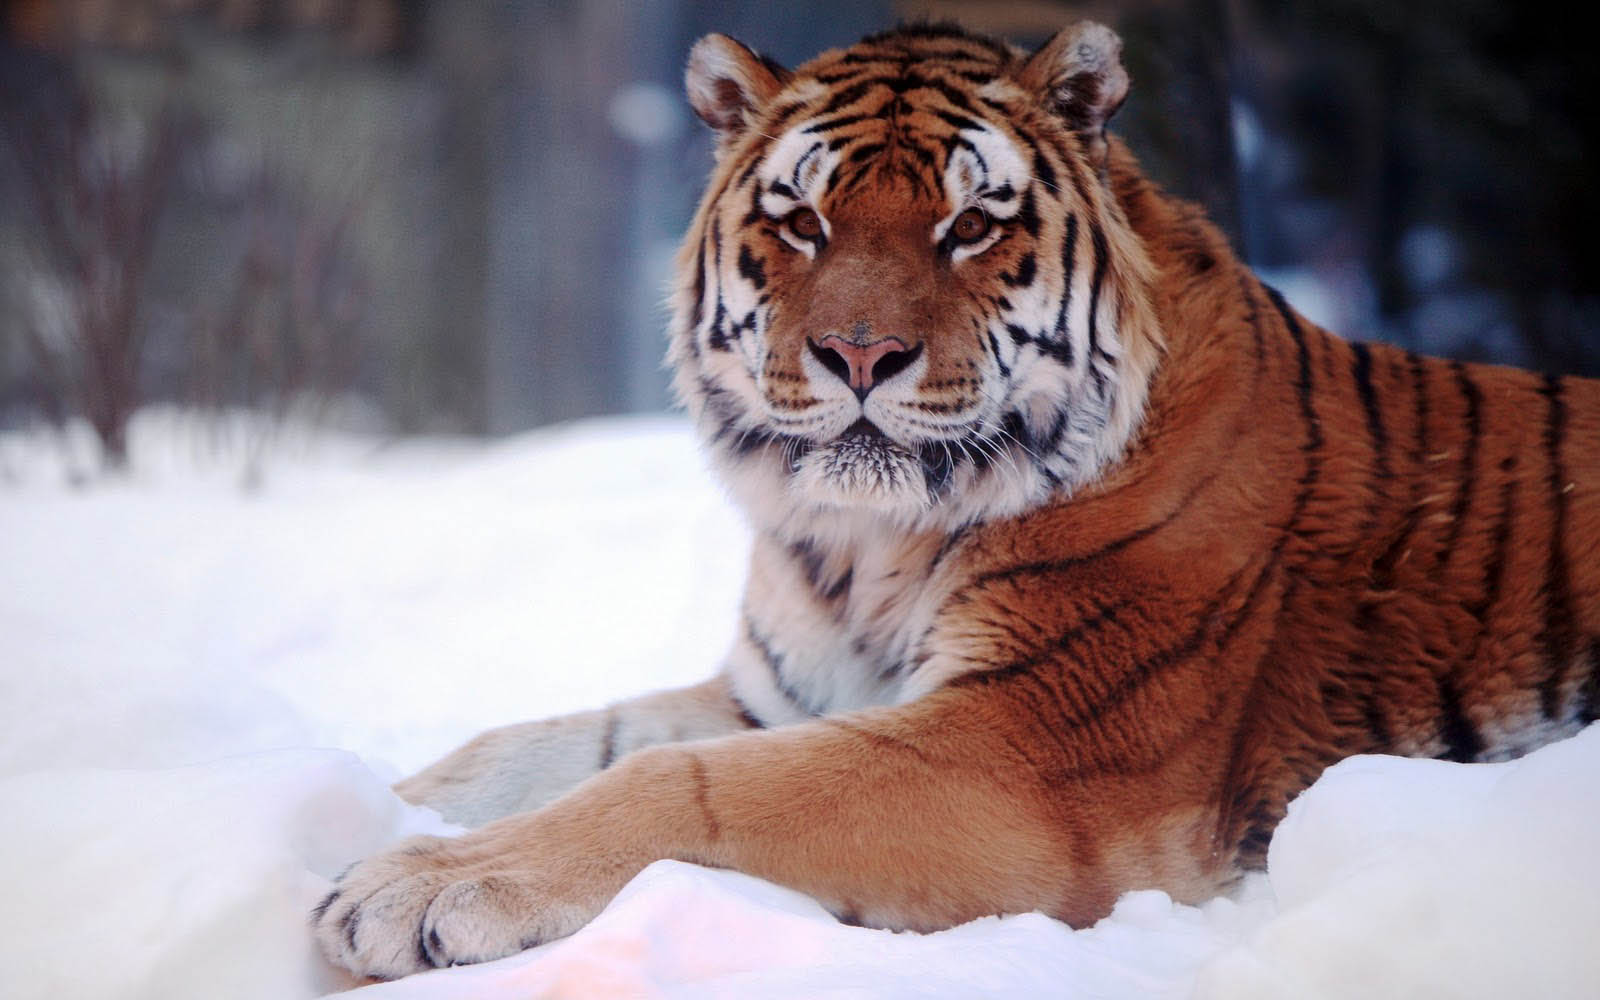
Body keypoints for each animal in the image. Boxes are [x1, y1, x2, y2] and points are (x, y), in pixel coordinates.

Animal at [315, 21, 1600, 979]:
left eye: (971, 225)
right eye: (801, 220)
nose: (859, 354)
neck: (862, 548)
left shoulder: (1024, 746)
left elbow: (681, 784)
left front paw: (408, 890)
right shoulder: (777, 693)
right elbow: (526, 748)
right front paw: (380, 819)